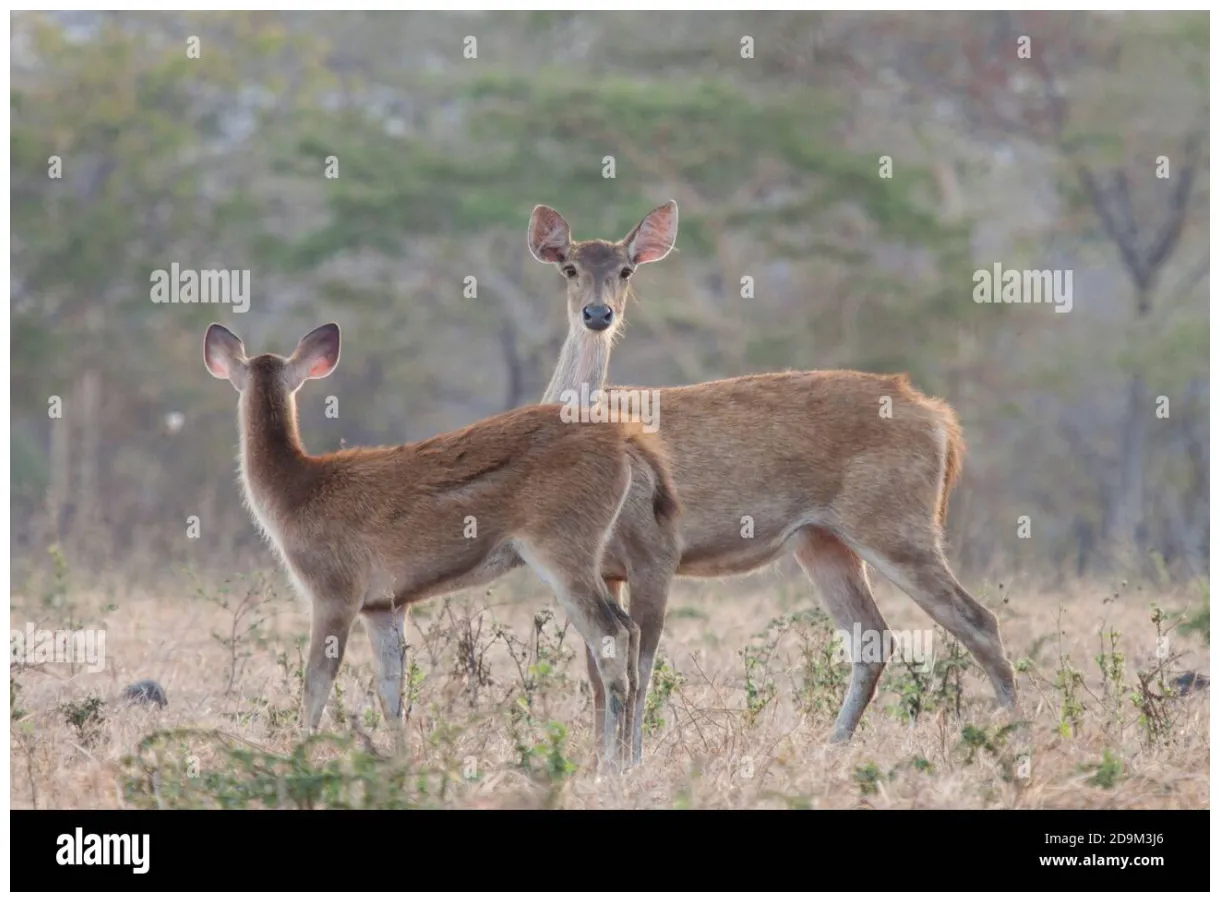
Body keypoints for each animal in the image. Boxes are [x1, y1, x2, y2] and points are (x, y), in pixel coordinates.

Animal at [202, 321, 681, 769]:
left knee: (612, 636)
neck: (297, 491)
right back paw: (625, 760)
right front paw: (399, 760)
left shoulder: (334, 590)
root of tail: (627, 440)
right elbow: (391, 691)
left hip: (563, 547)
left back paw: (611, 767)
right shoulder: (384, 605)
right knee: (632, 633)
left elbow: (316, 682)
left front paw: (298, 754)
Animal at [526, 200, 1017, 754]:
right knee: (872, 638)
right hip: (822, 539)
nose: (598, 314)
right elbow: (598, 671)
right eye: (570, 268)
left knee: (978, 621)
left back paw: (1016, 735)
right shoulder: (602, 567)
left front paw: (629, 760)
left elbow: (641, 664)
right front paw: (599, 758)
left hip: (896, 523)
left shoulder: (657, 551)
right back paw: (833, 747)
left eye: (626, 270)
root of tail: (941, 419)